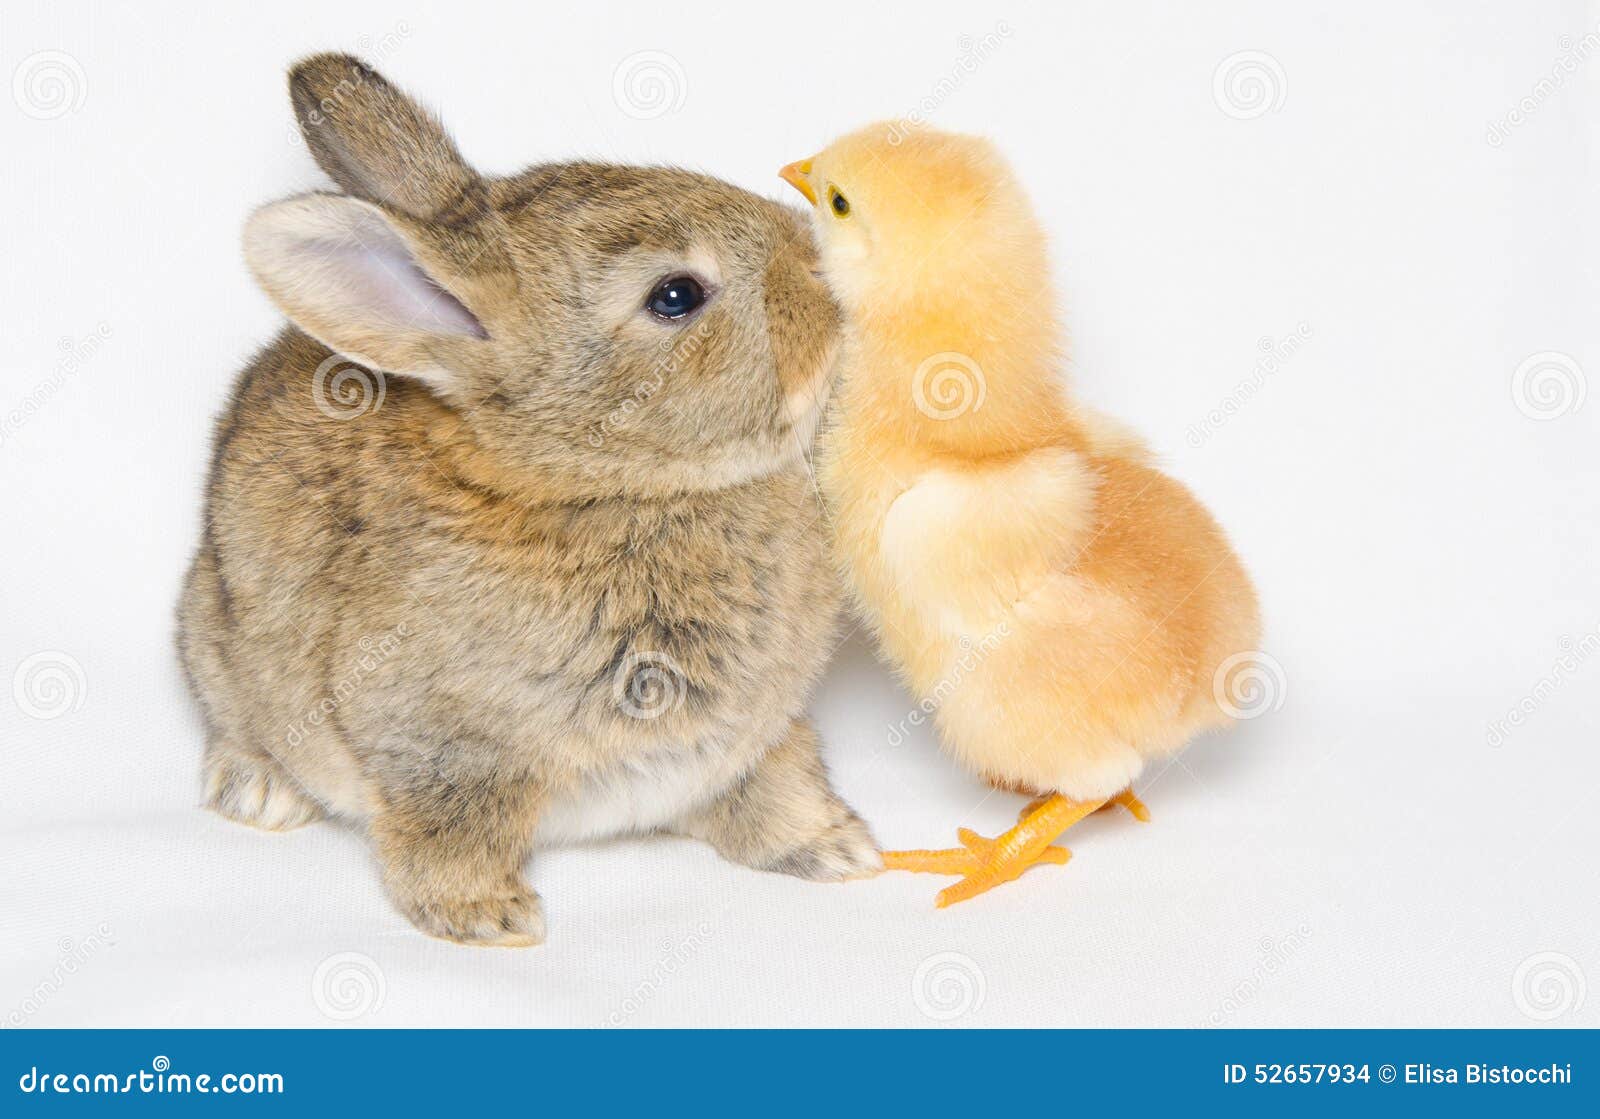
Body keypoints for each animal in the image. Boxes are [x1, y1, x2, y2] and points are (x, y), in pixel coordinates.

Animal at [176, 53, 878, 947]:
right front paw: (491, 917)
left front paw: (837, 848)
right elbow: (451, 826)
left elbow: (777, 782)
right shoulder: (442, 743)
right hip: (216, 635)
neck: (602, 484)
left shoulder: (753, 735)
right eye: (675, 295)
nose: (821, 269)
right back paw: (257, 788)